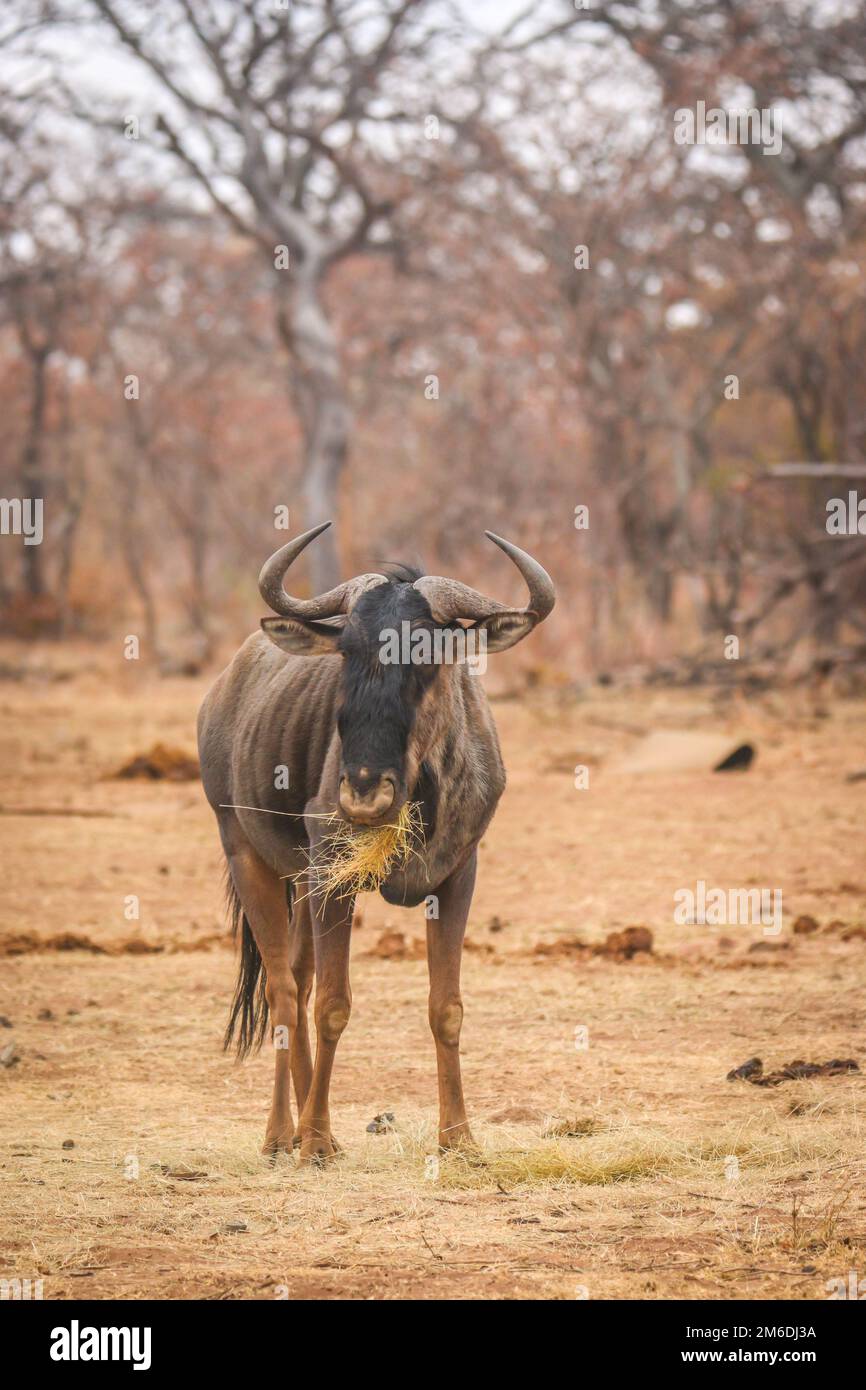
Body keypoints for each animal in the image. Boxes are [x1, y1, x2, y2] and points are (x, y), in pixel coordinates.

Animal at [197, 522, 555, 1164]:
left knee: (298, 979)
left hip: (302, 887)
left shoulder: (457, 877)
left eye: (428, 657)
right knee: (285, 990)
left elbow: (446, 1007)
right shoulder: (333, 878)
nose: (363, 793)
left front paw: (459, 1139)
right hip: (250, 858)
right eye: (348, 652)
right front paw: (315, 1140)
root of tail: (222, 690)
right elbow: (332, 1005)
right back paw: (284, 1134)